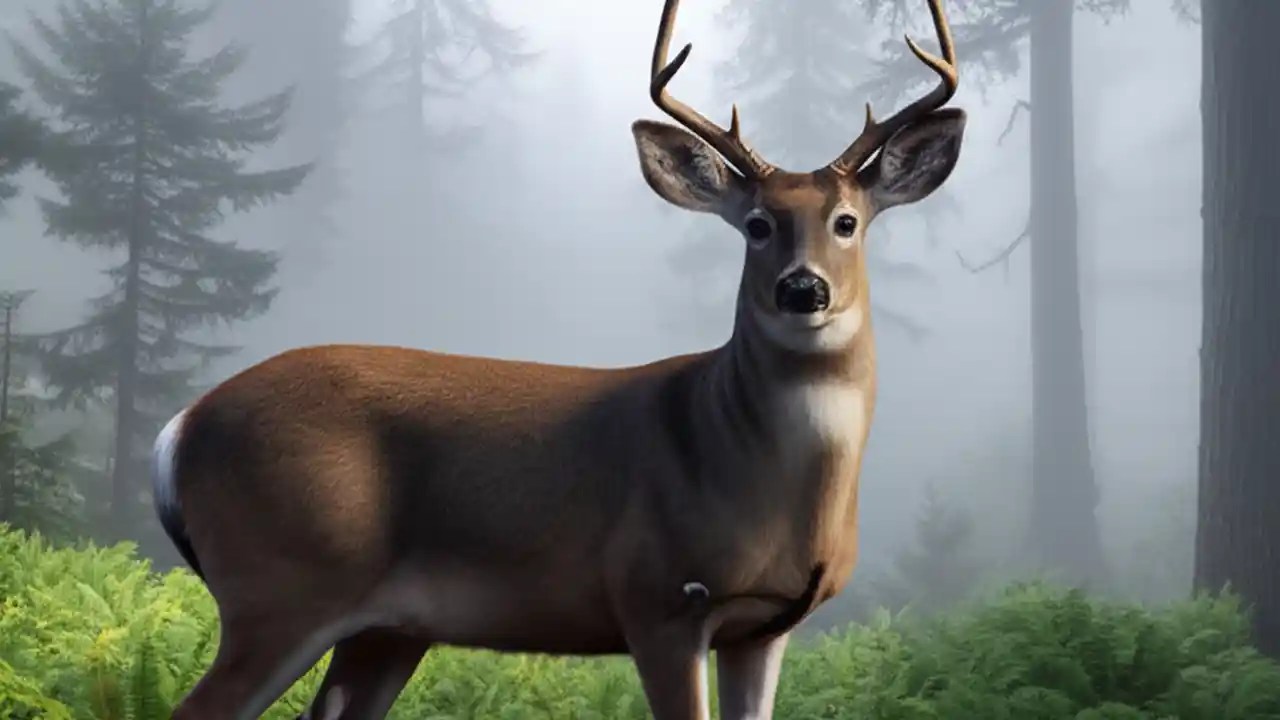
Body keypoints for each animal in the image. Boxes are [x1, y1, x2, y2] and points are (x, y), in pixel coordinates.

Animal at [152, 1, 963, 718]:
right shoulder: (660, 597)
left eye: (847, 221)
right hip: (281, 584)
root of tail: (179, 426)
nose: (803, 288)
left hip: (385, 629)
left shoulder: (762, 626)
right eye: (758, 224)